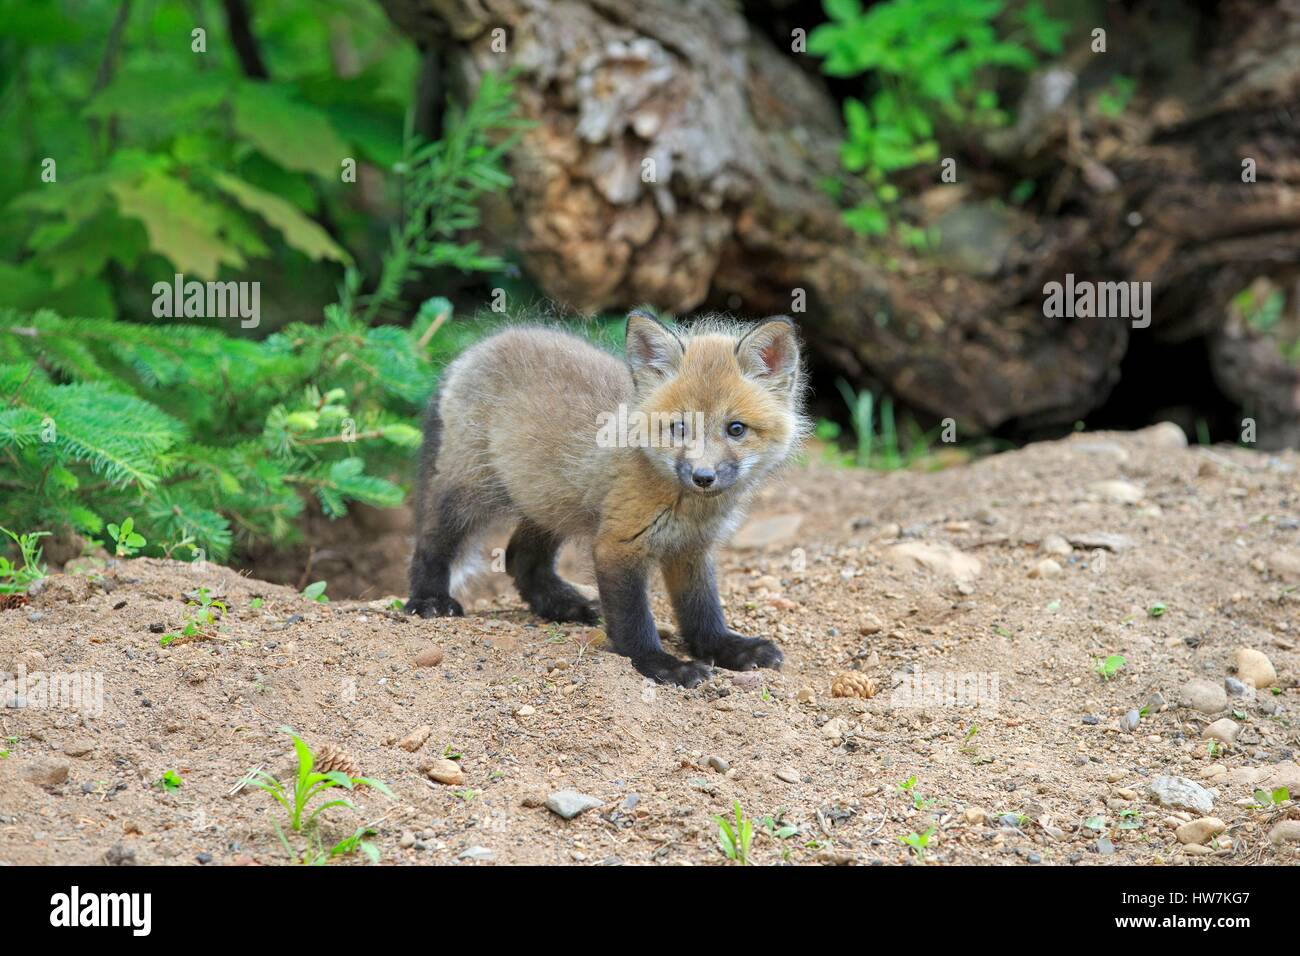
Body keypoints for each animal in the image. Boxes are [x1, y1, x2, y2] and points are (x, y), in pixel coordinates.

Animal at [404, 309, 807, 686]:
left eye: (736, 429)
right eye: (679, 427)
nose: (703, 477)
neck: (689, 508)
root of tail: (474, 350)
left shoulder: (691, 549)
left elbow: (702, 612)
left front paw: (727, 648)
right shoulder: (619, 544)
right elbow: (634, 622)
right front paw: (662, 665)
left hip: (549, 501)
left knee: (520, 559)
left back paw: (565, 606)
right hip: (469, 493)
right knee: (430, 543)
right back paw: (429, 600)